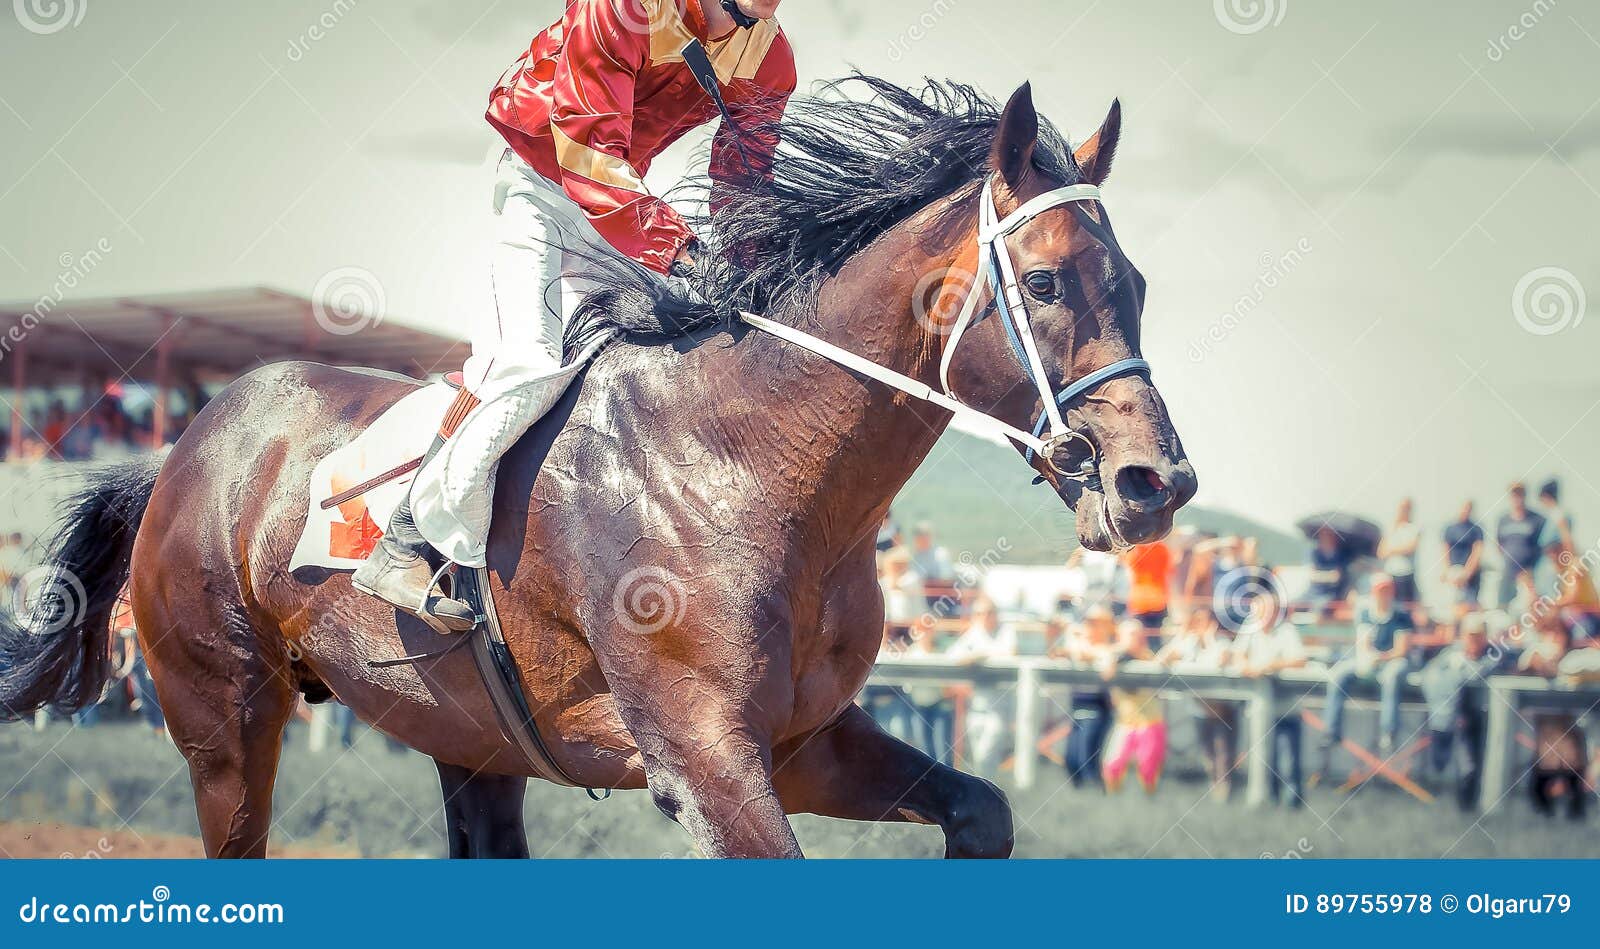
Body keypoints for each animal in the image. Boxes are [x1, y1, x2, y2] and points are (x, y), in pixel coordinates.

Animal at [0, 76, 1196, 858]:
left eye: (1137, 281)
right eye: (1043, 283)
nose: (1156, 483)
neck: (748, 466)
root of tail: (185, 447)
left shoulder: (802, 742)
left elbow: (982, 811)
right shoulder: (704, 760)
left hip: (467, 741)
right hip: (223, 718)